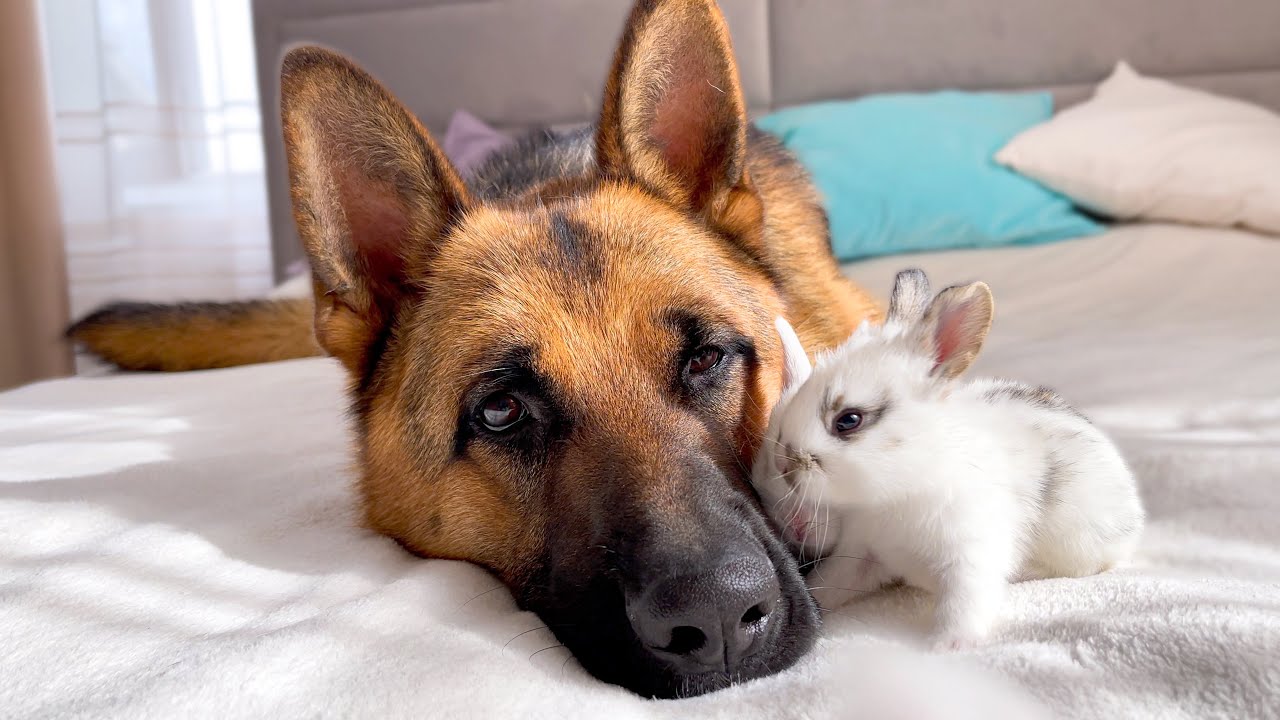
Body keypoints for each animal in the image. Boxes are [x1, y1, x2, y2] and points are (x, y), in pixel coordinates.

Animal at [753, 269, 1145, 650]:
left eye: (849, 420)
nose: (785, 461)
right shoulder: (863, 553)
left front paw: (948, 646)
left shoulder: (971, 550)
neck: (896, 493)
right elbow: (832, 581)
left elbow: (965, 600)